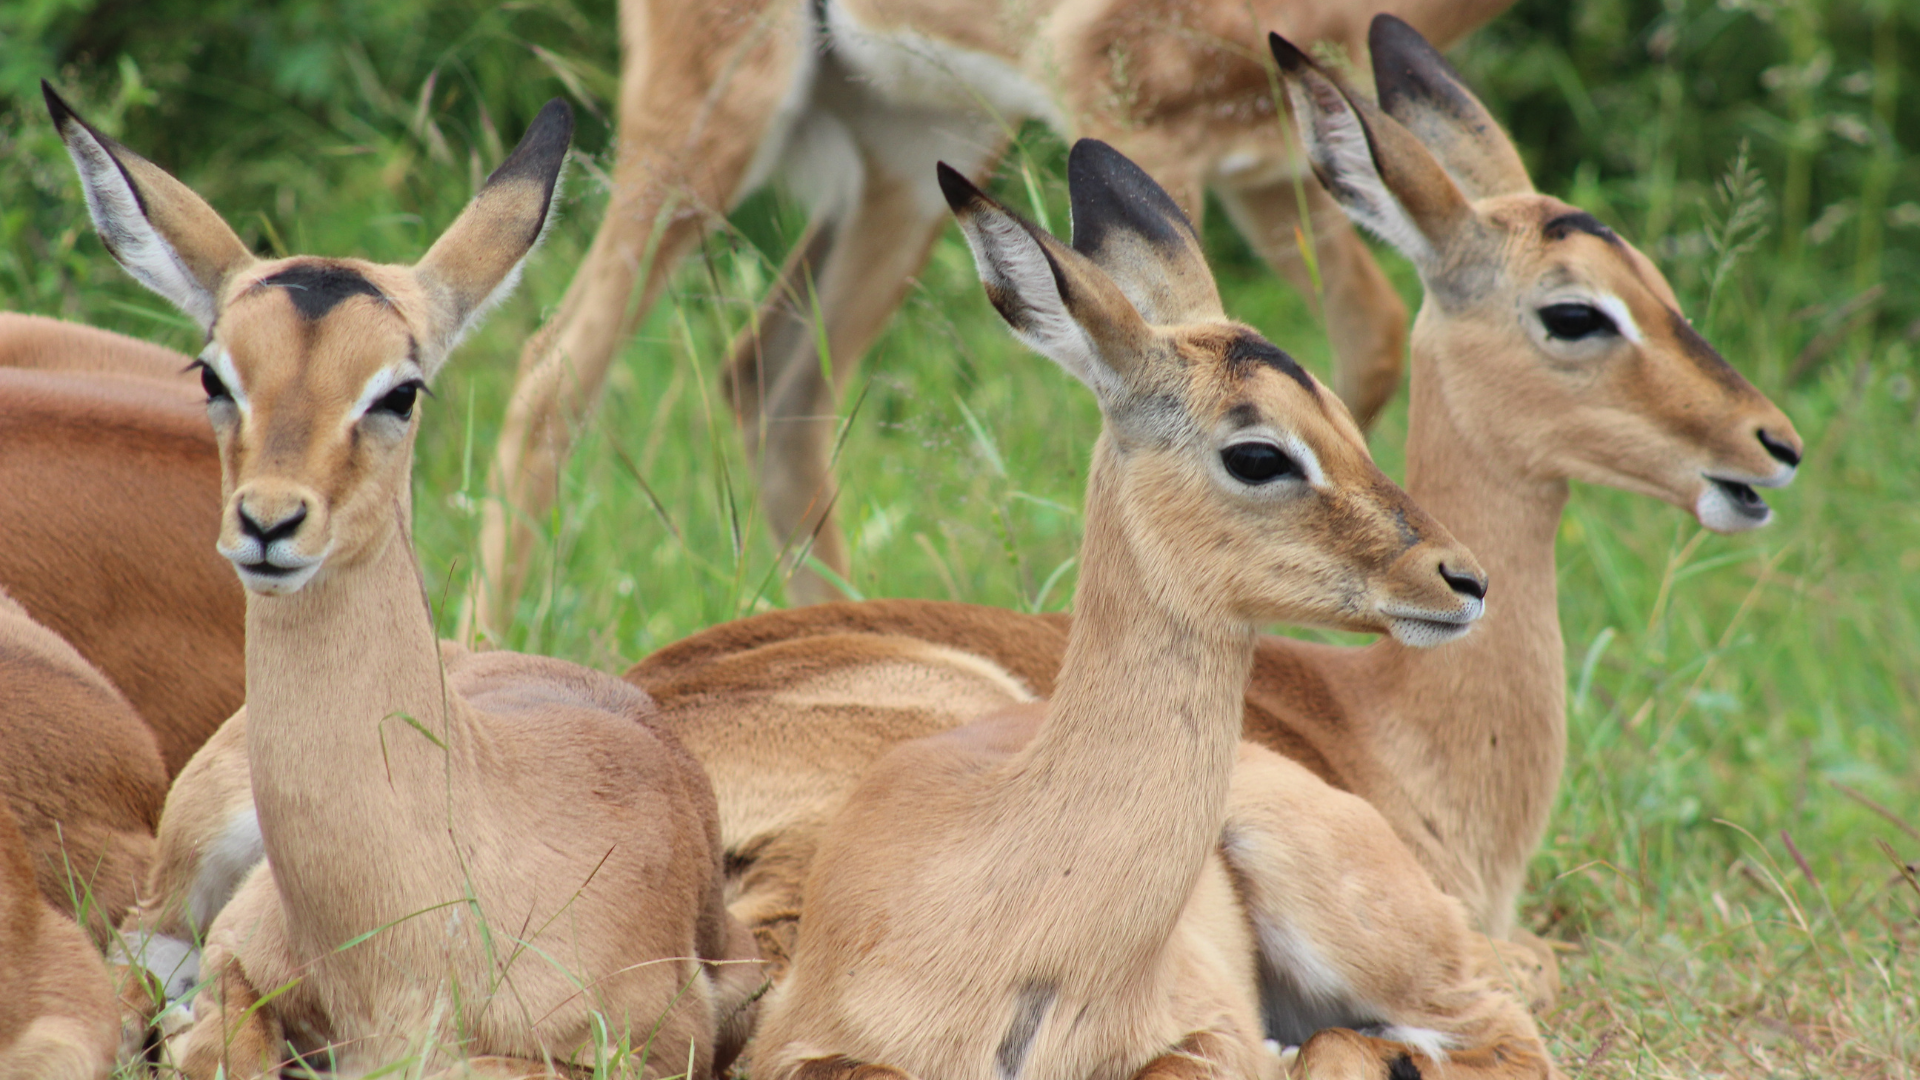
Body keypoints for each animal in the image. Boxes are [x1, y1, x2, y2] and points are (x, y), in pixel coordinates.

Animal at [474, 0, 1518, 625]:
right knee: (550, 364)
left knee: (773, 381)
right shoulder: (1135, 112)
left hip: (914, 149)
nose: (1470, 580)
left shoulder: (1263, 167)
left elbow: (1364, 335)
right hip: (711, 110)